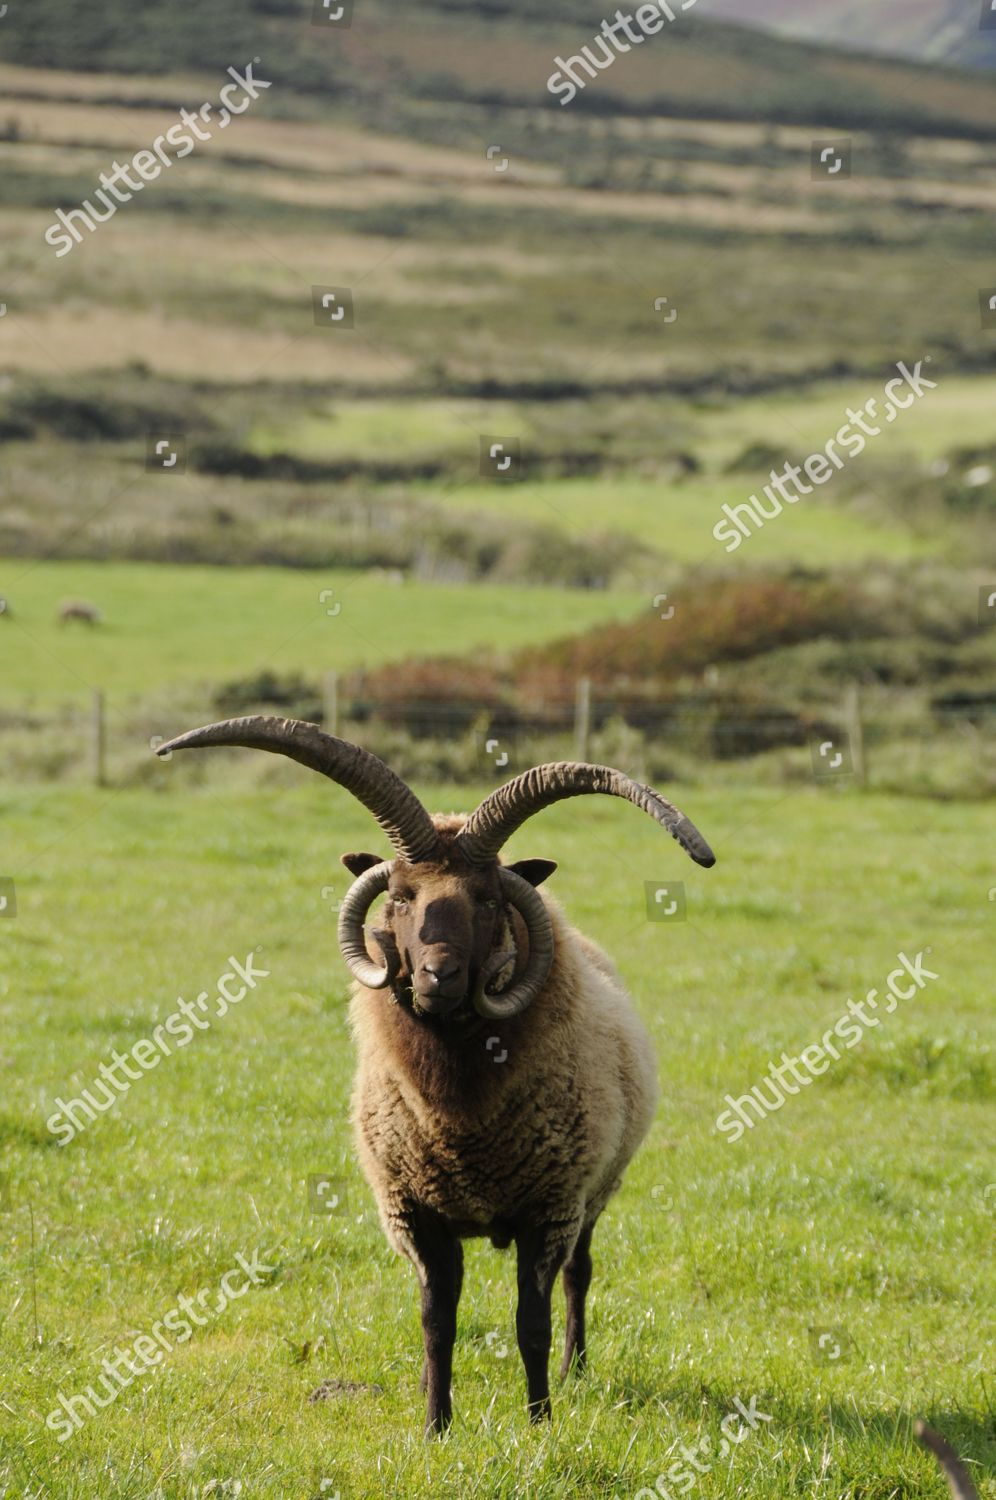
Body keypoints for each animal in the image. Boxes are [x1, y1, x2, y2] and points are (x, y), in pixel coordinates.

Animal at [156, 716, 716, 1432]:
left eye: (487, 899)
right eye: (399, 896)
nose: (438, 975)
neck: (458, 1111)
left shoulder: (548, 1208)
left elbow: (531, 1324)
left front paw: (540, 1423)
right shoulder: (414, 1213)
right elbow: (435, 1324)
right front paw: (434, 1426)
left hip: (594, 1190)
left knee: (580, 1274)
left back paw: (576, 1371)